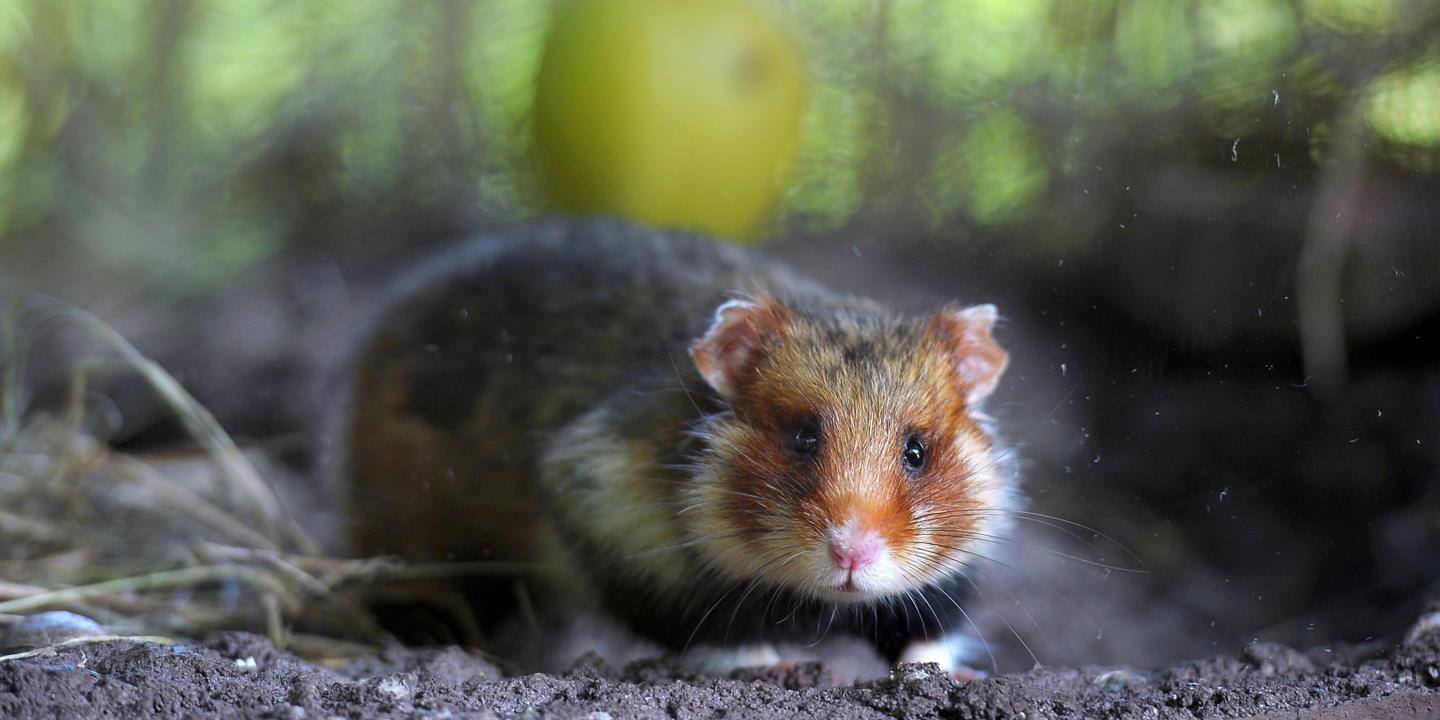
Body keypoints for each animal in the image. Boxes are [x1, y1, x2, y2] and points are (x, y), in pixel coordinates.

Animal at [334, 217, 1017, 672]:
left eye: (917, 451)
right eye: (801, 437)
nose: (852, 554)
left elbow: (923, 627)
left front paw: (944, 674)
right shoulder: (599, 503)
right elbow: (712, 625)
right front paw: (773, 668)